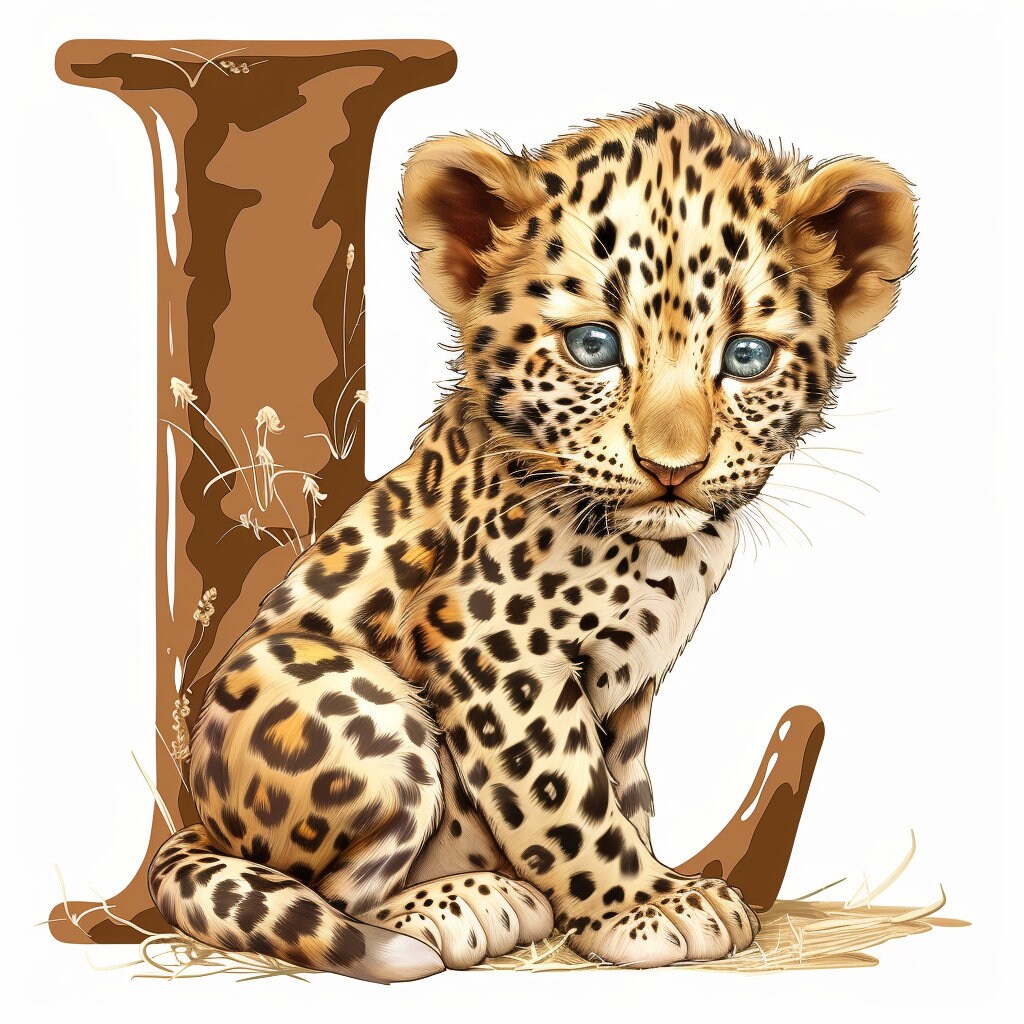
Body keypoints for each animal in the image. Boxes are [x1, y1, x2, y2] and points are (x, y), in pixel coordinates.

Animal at [148, 105, 916, 983]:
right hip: (340, 694)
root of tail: (198, 823)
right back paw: (458, 903)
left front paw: (645, 885)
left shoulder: (631, 688)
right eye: (593, 347)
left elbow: (624, 788)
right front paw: (646, 905)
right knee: (333, 891)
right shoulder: (495, 647)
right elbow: (565, 796)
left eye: (747, 357)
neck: (660, 554)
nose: (673, 469)